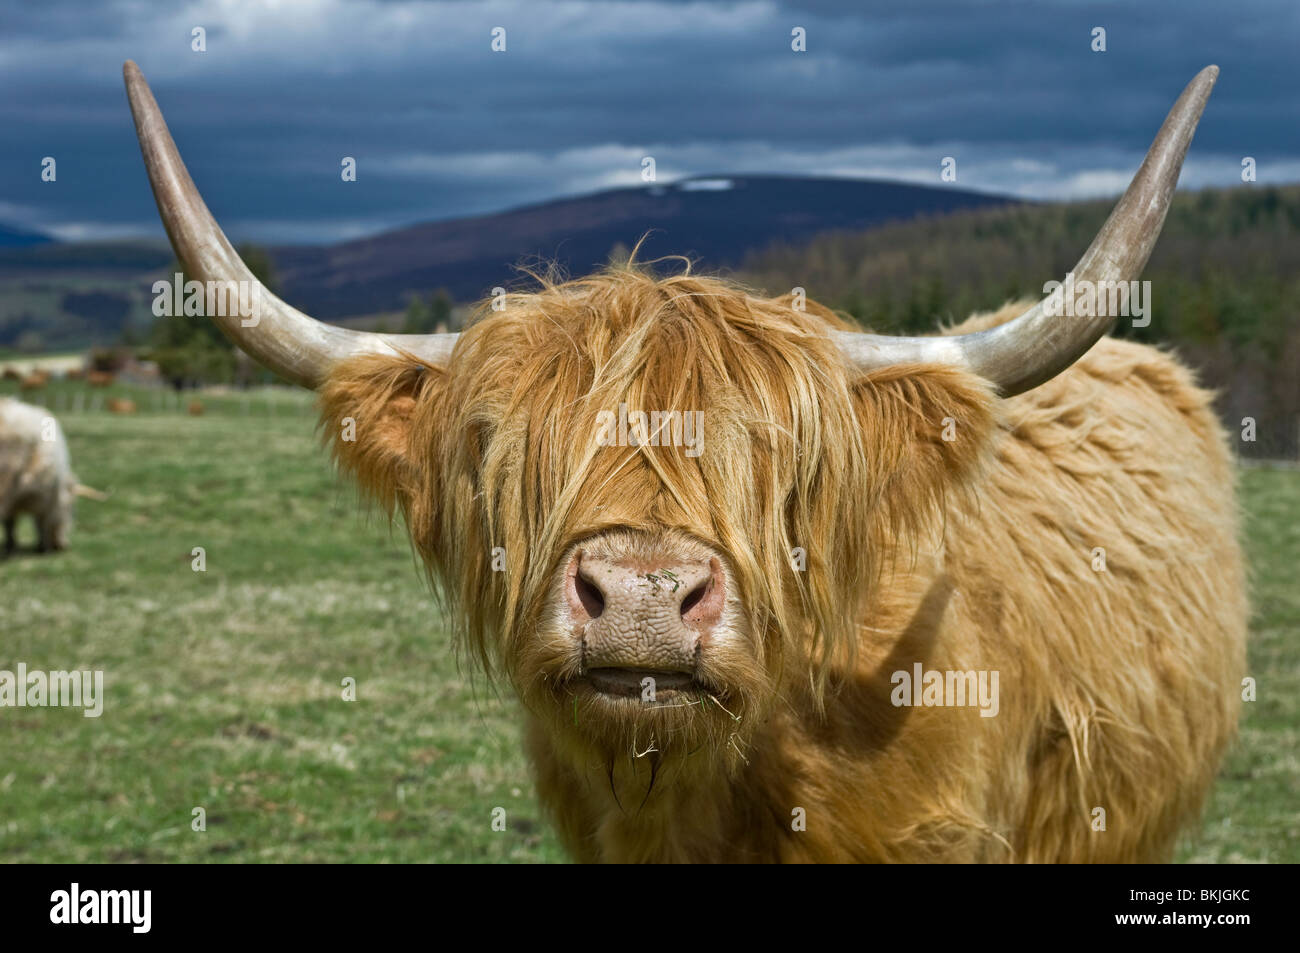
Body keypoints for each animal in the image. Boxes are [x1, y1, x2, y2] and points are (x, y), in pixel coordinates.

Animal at [0, 398, 104, 554]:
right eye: (71, 509)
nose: (62, 546)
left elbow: (10, 525)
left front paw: (10, 547)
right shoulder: (46, 499)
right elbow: (42, 523)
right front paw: (43, 547)